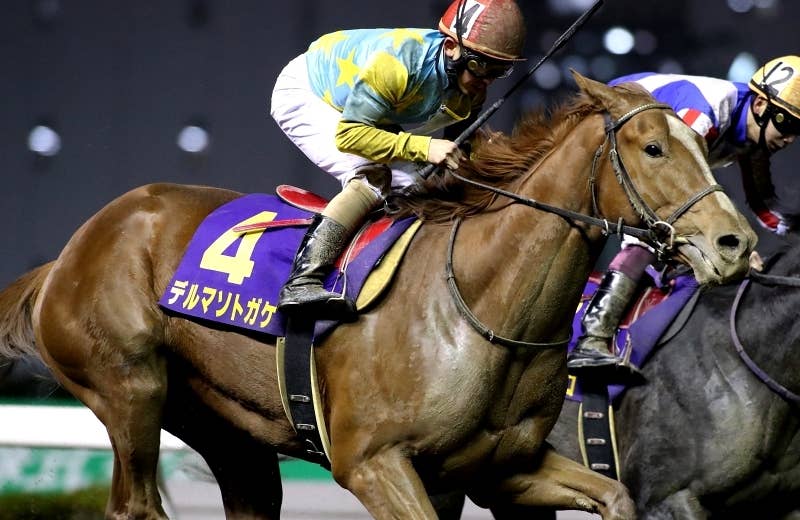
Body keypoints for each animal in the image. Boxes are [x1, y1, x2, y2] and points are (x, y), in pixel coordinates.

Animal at [0, 71, 757, 520]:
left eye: (705, 146)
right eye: (654, 148)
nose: (734, 242)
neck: (477, 305)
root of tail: (73, 249)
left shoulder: (501, 466)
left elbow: (616, 496)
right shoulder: (372, 464)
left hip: (228, 429)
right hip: (129, 393)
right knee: (135, 502)